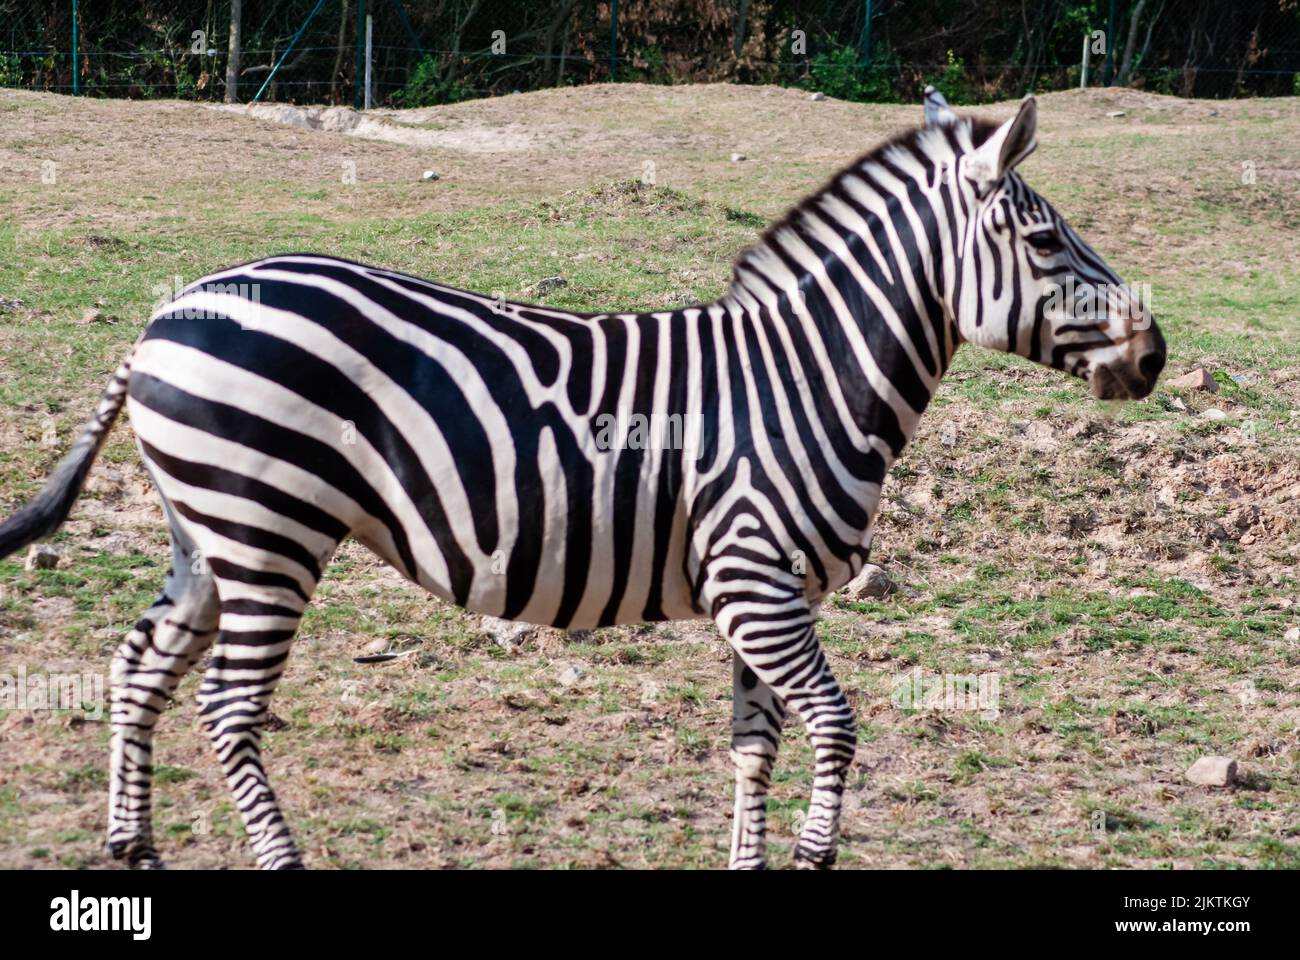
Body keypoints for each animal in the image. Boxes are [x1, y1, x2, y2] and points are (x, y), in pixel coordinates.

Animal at [0, 88, 1164, 870]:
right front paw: (814, 854)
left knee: (140, 668)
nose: (1155, 355)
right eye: (1045, 240)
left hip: (209, 531)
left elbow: (753, 747)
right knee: (229, 709)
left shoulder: (757, 595)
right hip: (268, 529)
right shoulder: (756, 578)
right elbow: (834, 726)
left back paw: (135, 849)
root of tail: (170, 309)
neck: (806, 376)